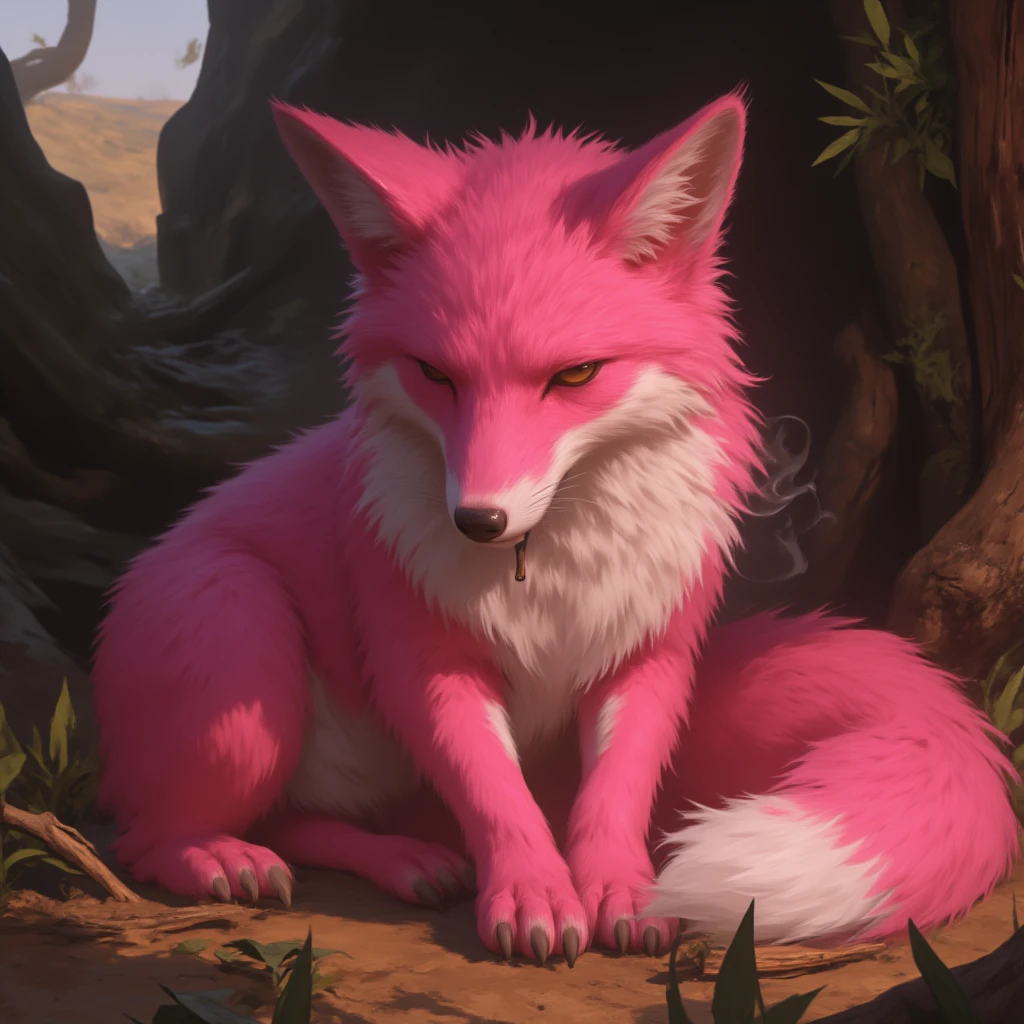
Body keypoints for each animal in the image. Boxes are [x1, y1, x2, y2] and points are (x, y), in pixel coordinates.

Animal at [91, 91, 1020, 966]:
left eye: (575, 376)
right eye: (434, 374)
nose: (479, 520)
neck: (552, 576)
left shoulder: (647, 654)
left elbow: (614, 793)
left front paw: (623, 892)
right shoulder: (424, 659)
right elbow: (498, 797)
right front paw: (535, 894)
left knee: (303, 822)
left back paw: (405, 860)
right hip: (243, 663)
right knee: (152, 837)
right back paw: (228, 857)